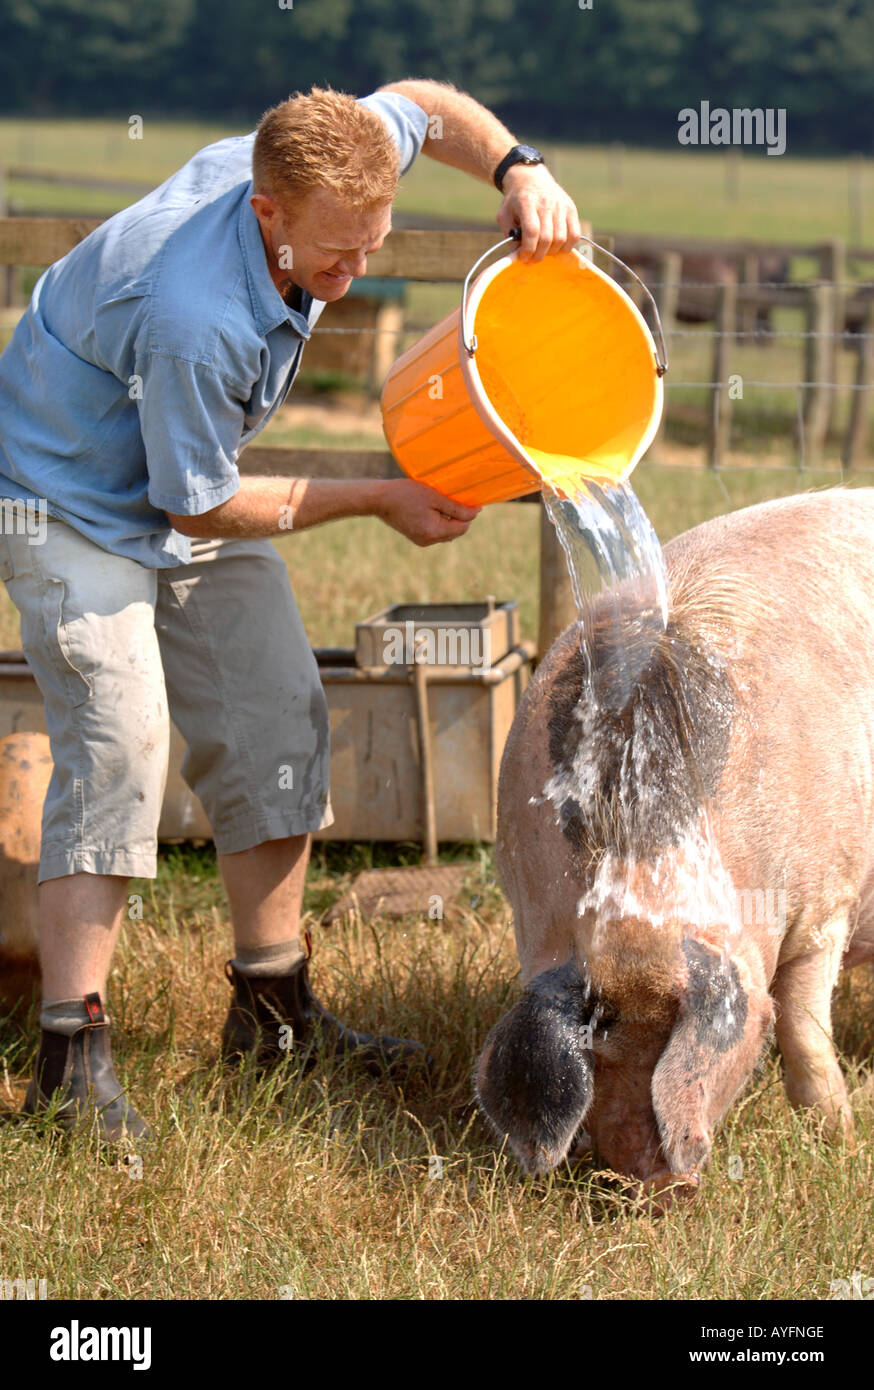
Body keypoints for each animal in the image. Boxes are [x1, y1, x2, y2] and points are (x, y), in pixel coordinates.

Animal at [476, 488, 874, 1195]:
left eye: (675, 1042)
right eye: (600, 1040)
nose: (646, 1182)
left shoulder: (827, 904)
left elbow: (803, 1031)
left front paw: (843, 1146)